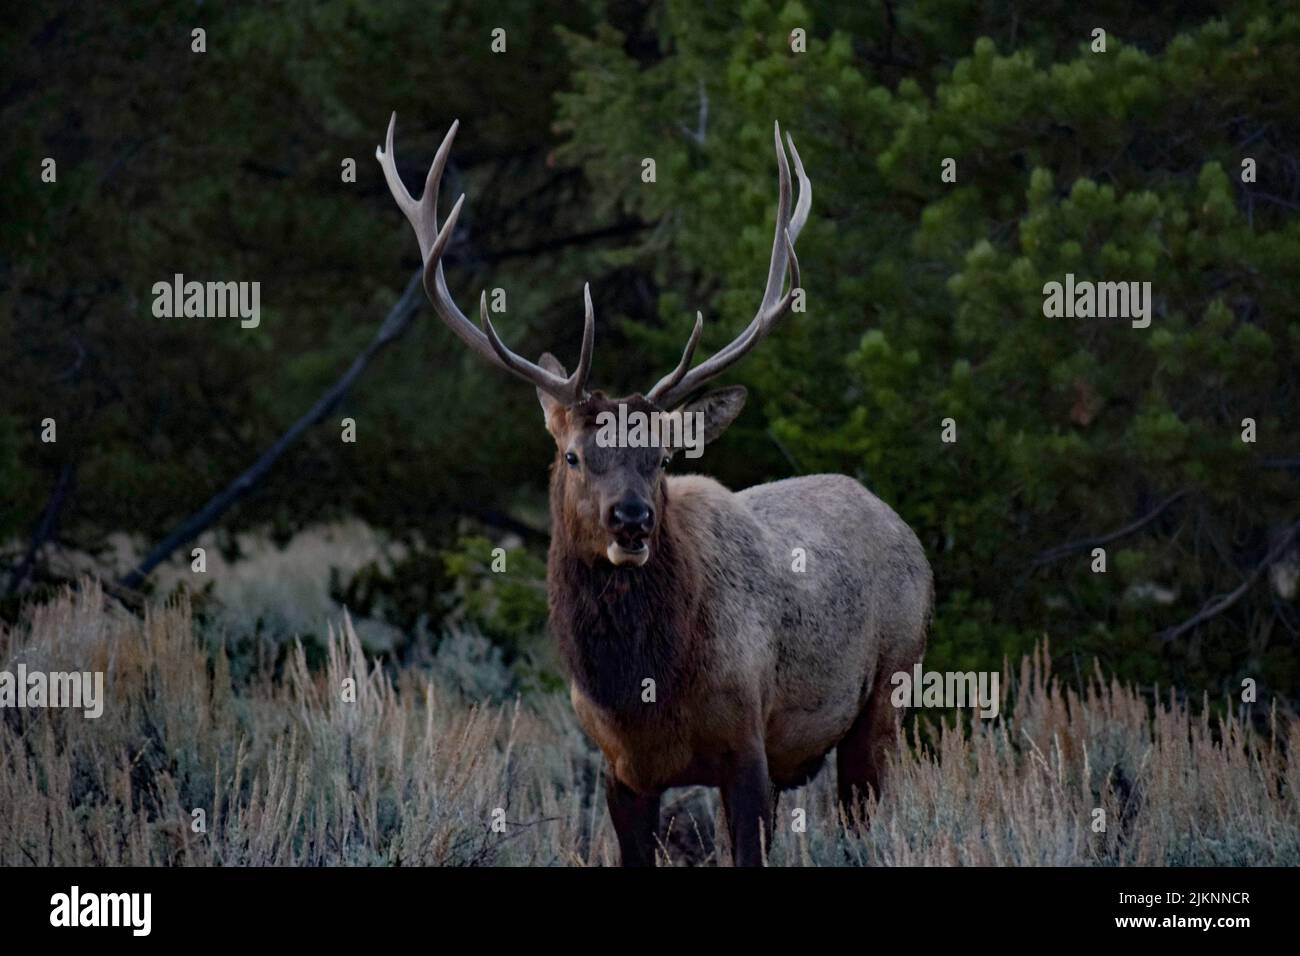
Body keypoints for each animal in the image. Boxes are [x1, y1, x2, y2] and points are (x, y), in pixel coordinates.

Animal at [377, 114, 933, 866]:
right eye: (574, 455)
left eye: (663, 456)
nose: (632, 520)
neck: (643, 691)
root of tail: (902, 526)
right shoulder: (619, 772)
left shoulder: (748, 745)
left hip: (889, 690)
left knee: (865, 811)